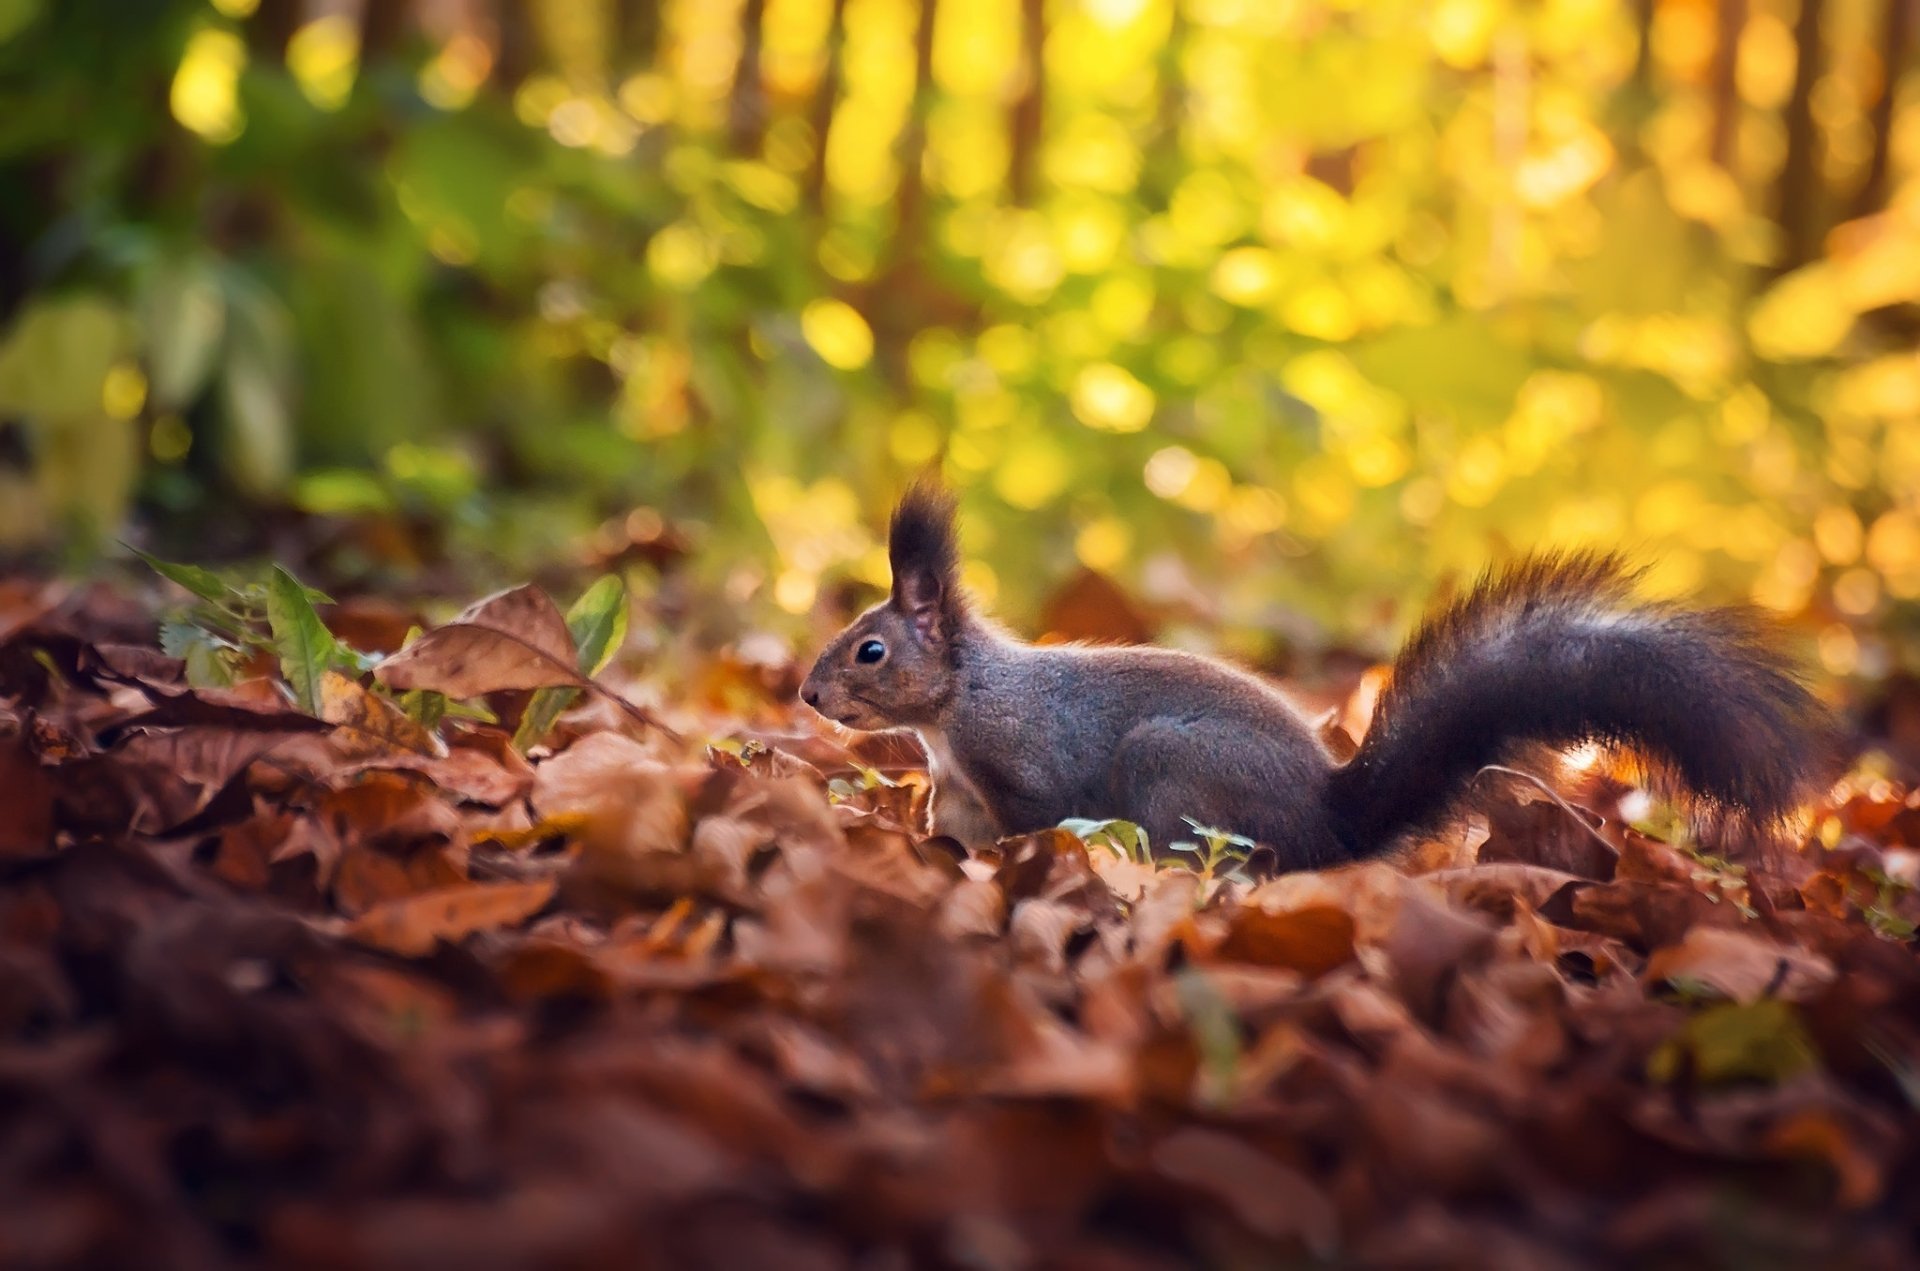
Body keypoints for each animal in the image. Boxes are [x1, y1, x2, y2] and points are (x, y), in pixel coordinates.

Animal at [799, 480, 1841, 871]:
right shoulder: (955, 793)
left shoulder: (1027, 764)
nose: (807, 696)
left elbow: (1042, 816)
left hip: (1175, 772)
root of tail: (1330, 822)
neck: (957, 711)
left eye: (870, 650)